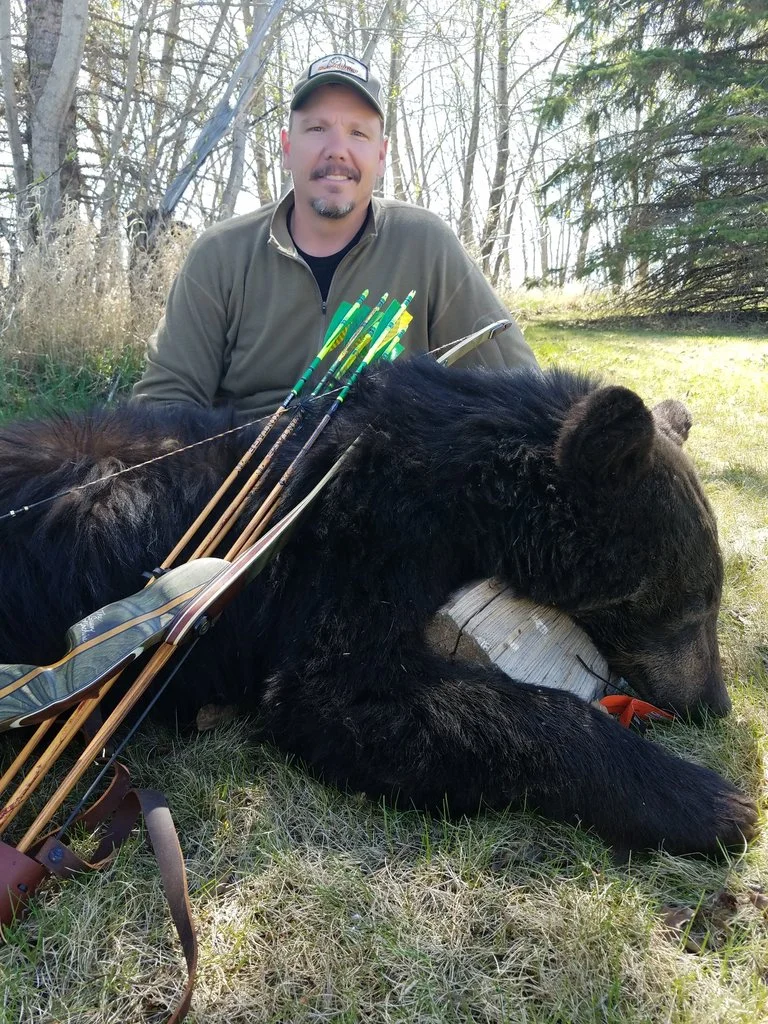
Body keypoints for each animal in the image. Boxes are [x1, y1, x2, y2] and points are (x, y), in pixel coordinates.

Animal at [0, 357, 757, 856]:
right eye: (689, 606)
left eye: (710, 597)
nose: (715, 704)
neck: (468, 482)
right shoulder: (366, 535)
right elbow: (334, 693)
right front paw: (707, 800)